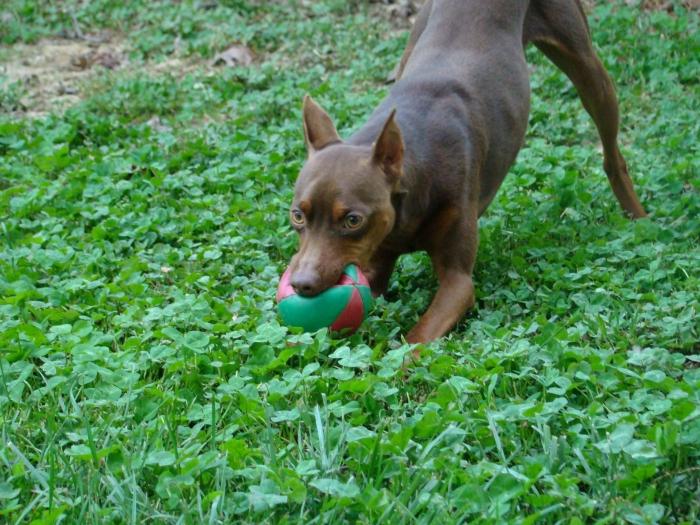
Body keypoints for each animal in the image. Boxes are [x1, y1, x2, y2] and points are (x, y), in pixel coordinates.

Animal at [288, 0, 648, 344]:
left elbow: (415, 341)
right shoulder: (373, 263)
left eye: (353, 220)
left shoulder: (458, 283)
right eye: (297, 216)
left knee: (612, 153)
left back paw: (640, 218)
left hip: (587, 68)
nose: (301, 283)